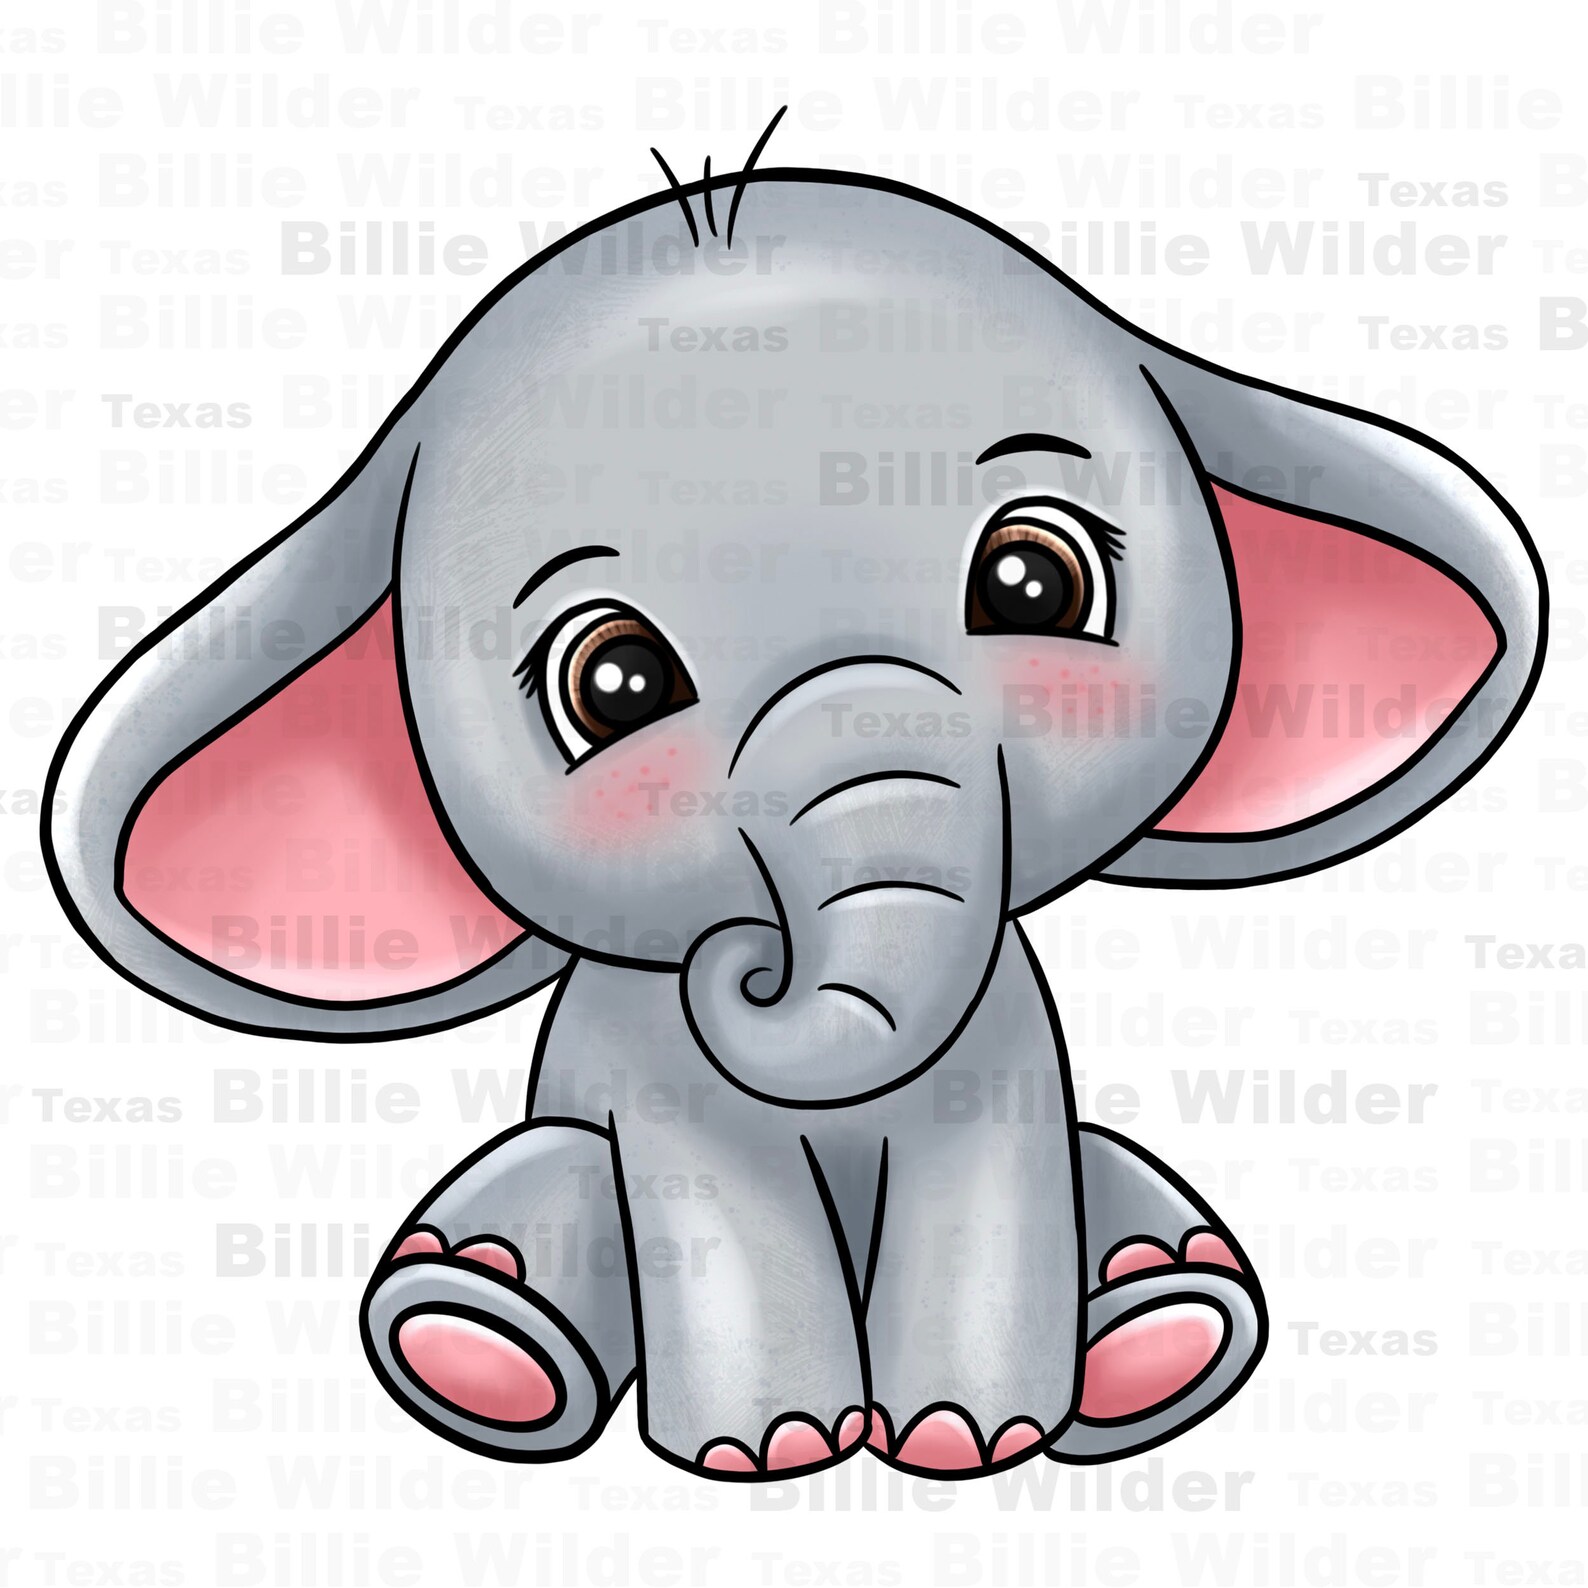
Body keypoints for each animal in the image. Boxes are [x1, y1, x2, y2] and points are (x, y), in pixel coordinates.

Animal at [42, 150, 1545, 1481]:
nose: (748, 960)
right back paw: (479, 1332)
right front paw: (772, 1449)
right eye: (611, 684)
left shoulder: (1003, 1029)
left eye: (1036, 579)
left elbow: (994, 1172)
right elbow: (714, 1197)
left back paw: (1154, 1321)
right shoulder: (658, 1074)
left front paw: (963, 1437)